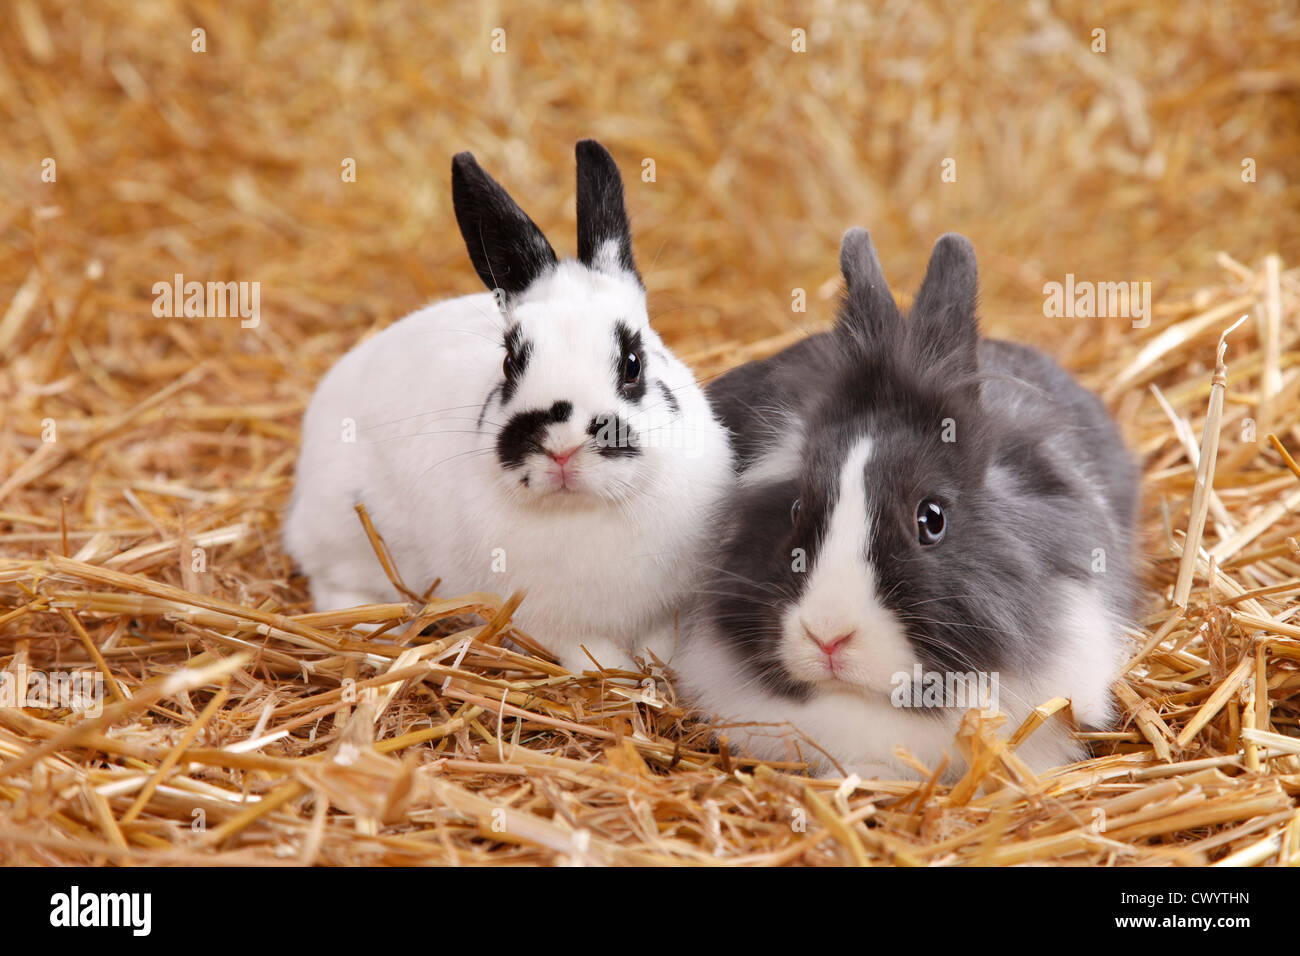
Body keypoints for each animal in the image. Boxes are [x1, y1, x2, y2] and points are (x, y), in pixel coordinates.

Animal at [284, 140, 732, 674]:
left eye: (632, 363)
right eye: (508, 363)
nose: (561, 448)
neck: (583, 510)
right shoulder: (557, 627)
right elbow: (590, 654)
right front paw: (616, 675)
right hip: (346, 530)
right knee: (334, 586)